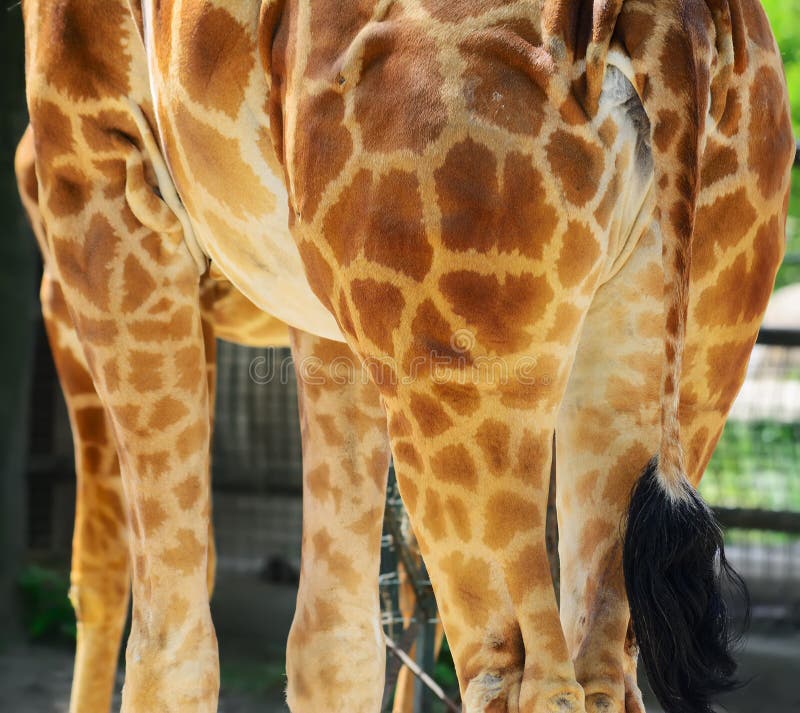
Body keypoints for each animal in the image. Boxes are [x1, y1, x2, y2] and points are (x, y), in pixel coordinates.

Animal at [21, 2, 794, 713]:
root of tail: (670, 22)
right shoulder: (320, 321)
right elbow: (334, 643)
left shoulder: (93, 186)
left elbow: (150, 625)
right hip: (678, 348)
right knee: (603, 668)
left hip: (448, 371)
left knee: (521, 677)